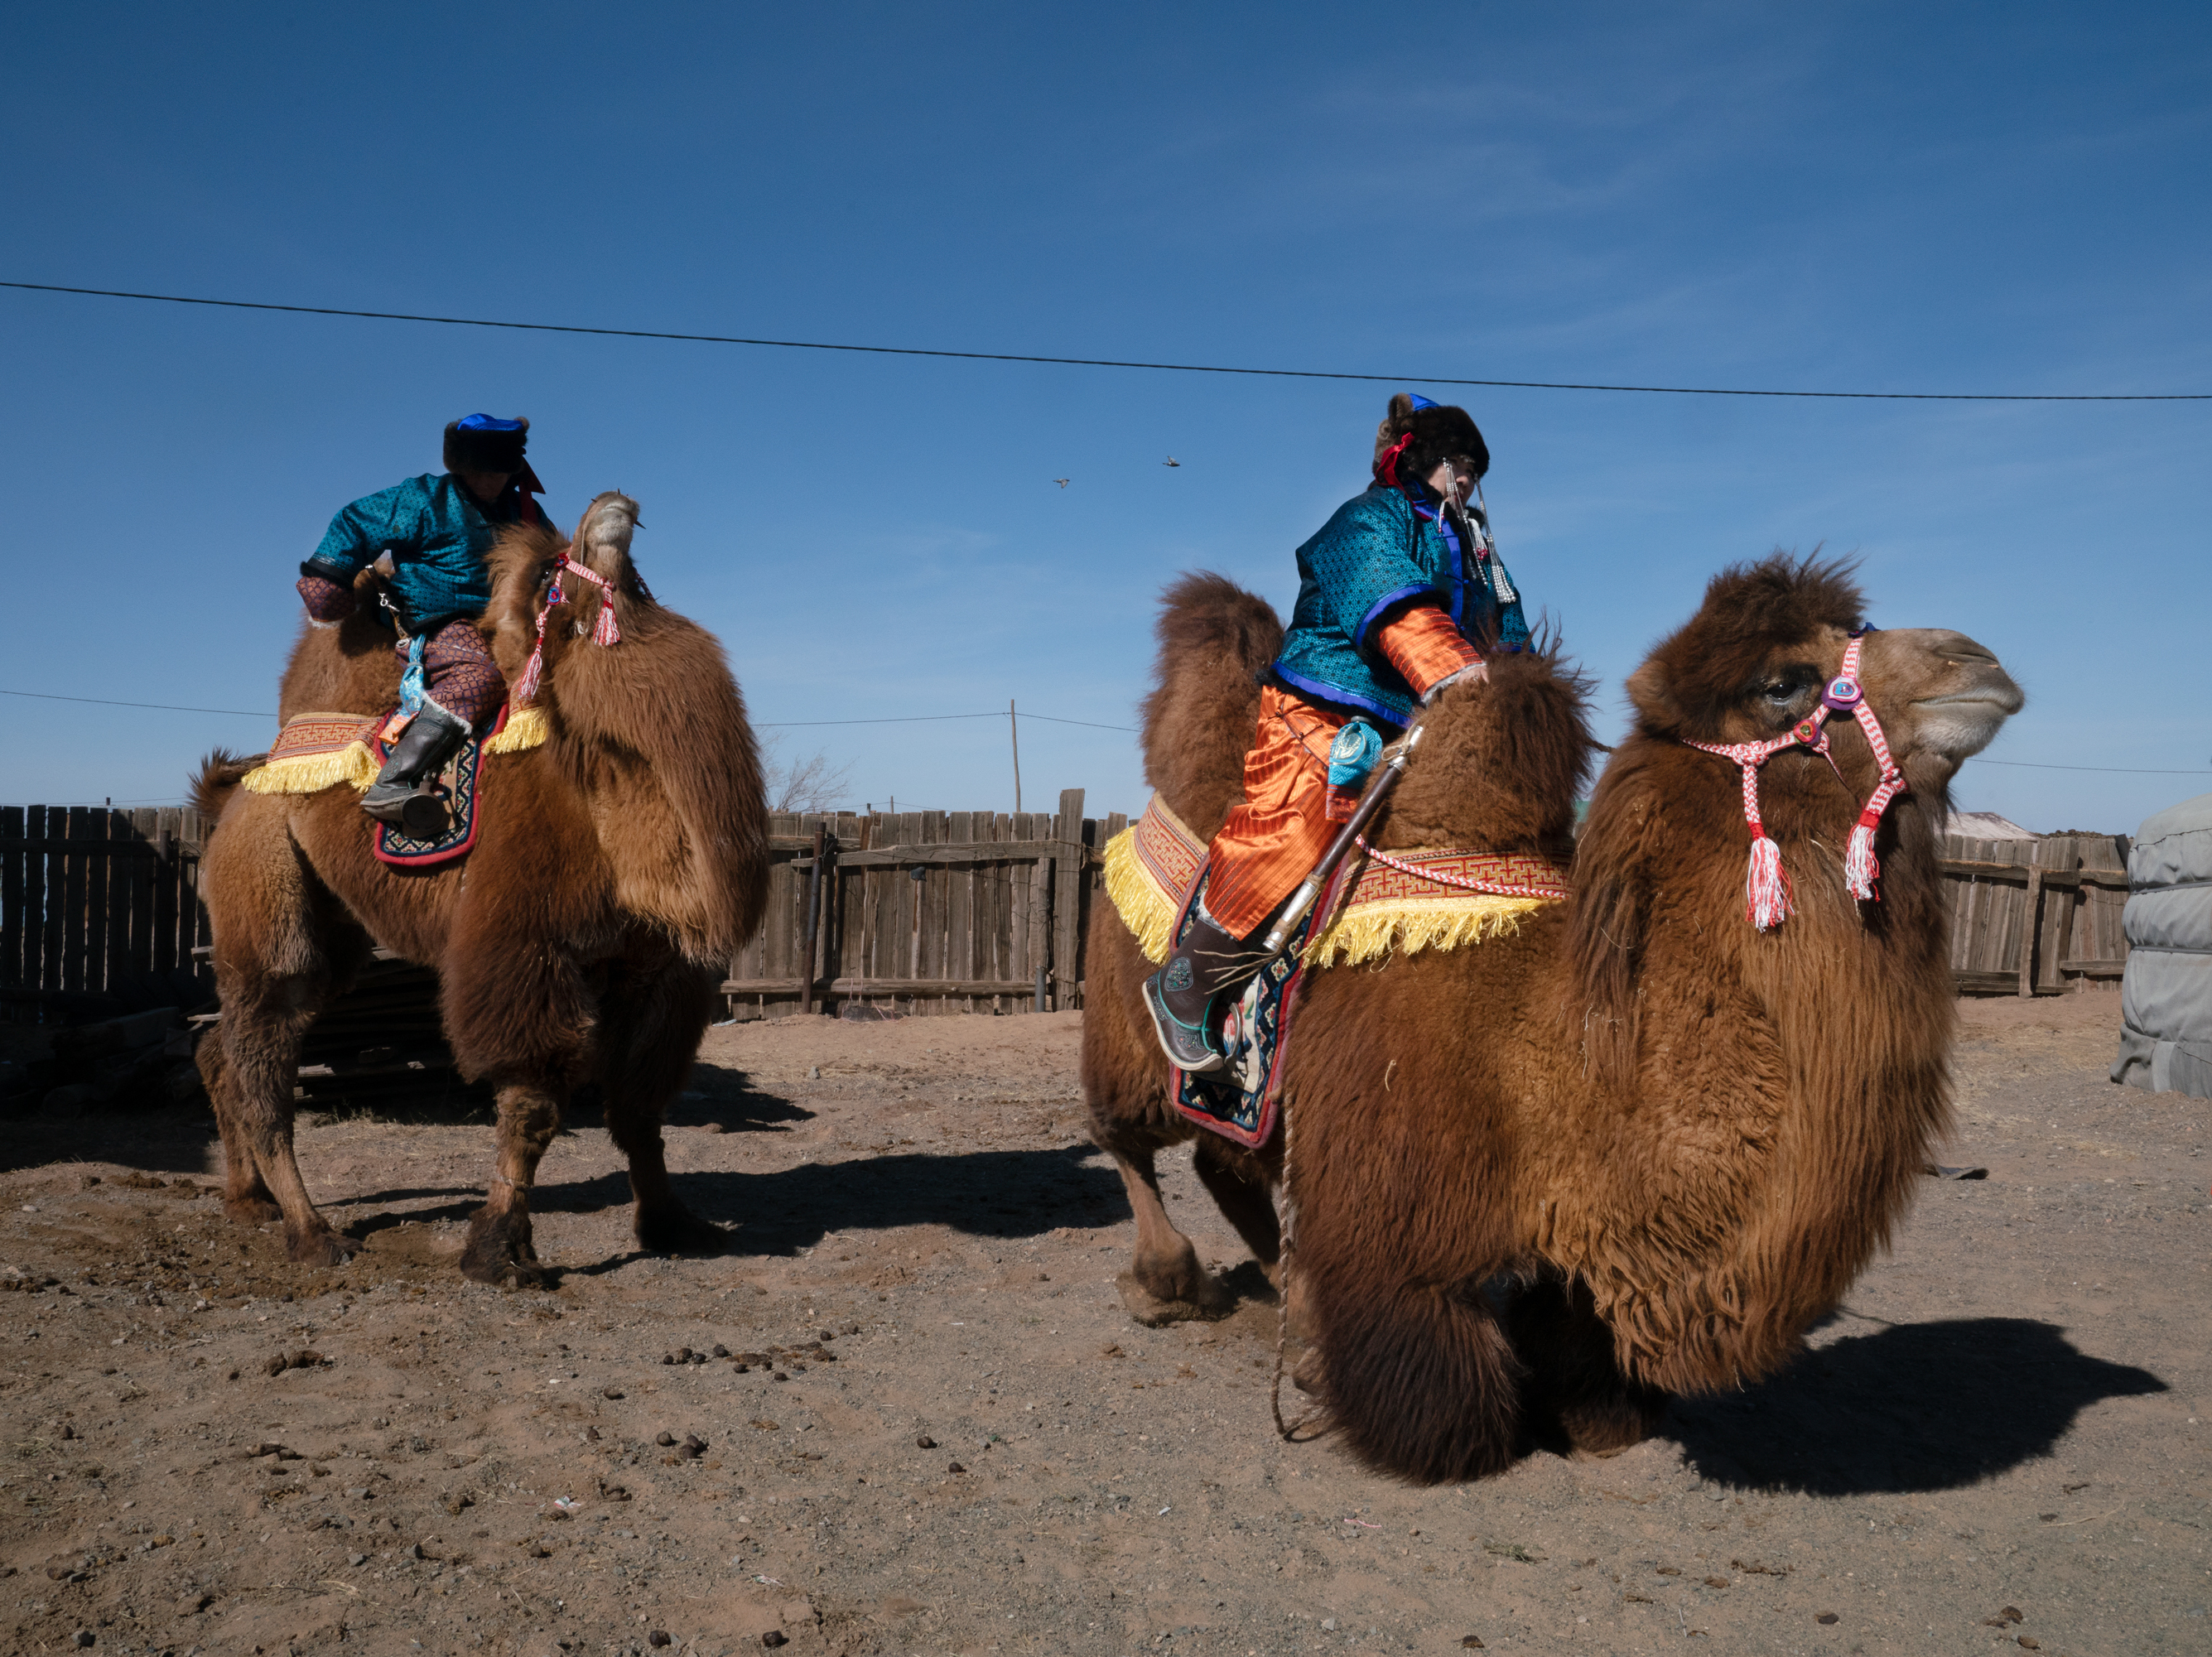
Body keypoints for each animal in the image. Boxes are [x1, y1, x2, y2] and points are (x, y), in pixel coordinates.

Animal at [191, 494, 769, 1284]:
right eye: (560, 584)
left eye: (640, 582)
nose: (617, 508)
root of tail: (232, 795)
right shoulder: (525, 943)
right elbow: (532, 1105)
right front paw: (501, 1250)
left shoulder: (658, 969)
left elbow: (640, 1106)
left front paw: (673, 1222)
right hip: (265, 890)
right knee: (266, 1065)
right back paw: (312, 1234)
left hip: (332, 930)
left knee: (225, 1048)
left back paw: (248, 1201)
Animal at [1082, 558, 2023, 1481]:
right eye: (1782, 682)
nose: (1977, 662)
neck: (1555, 1053)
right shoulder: (1398, 1226)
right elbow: (1447, 1406)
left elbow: (1581, 1355)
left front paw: (1591, 1417)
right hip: (1122, 1038)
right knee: (1127, 1137)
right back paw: (1170, 1283)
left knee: (1221, 1159)